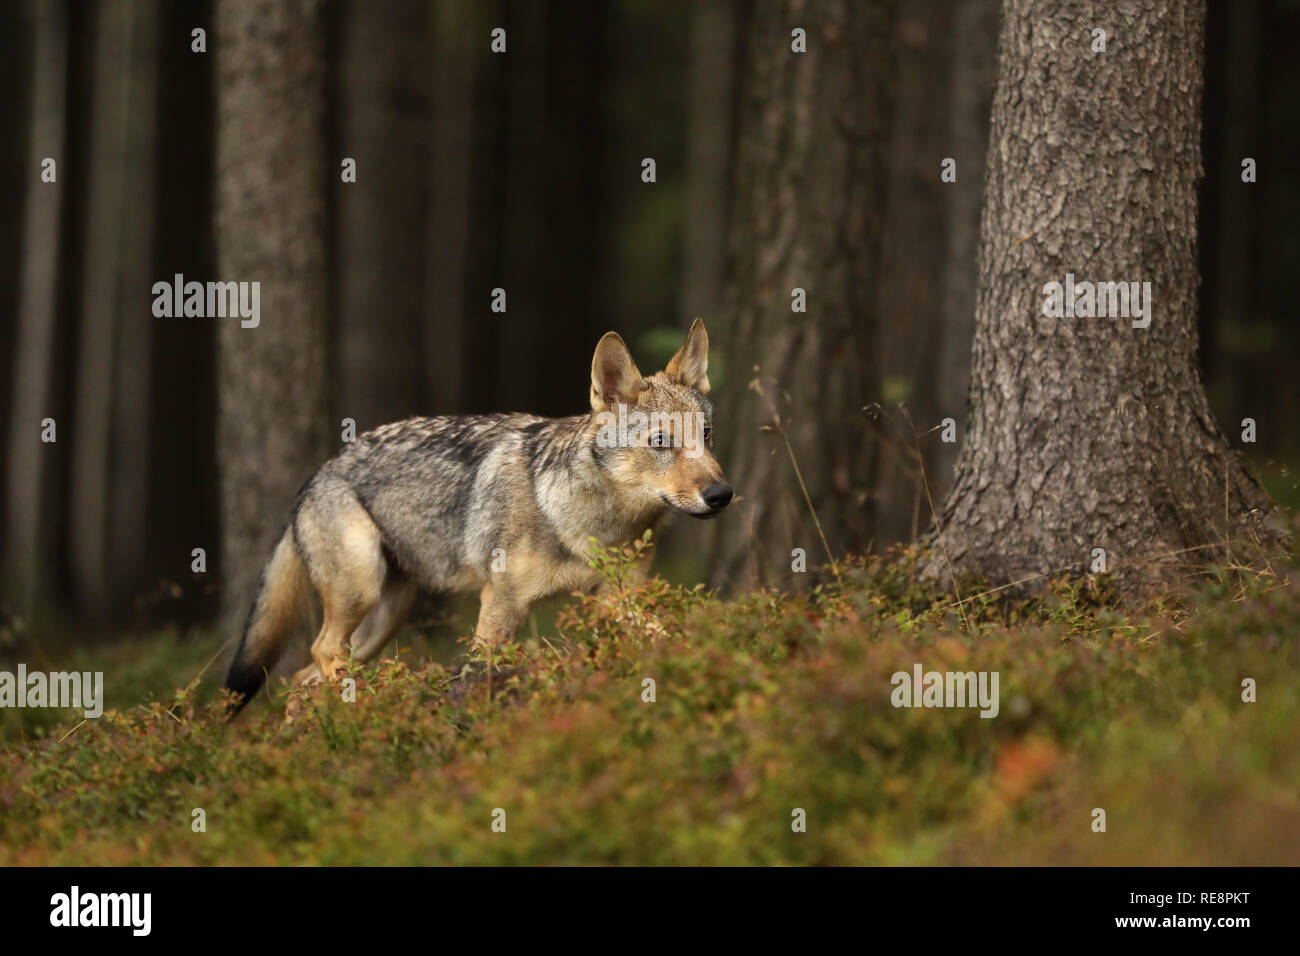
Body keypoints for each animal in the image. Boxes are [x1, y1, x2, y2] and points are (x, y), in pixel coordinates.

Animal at [225, 319, 732, 711]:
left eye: (706, 436)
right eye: (661, 443)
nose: (722, 494)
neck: (592, 523)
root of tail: (317, 474)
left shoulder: (616, 601)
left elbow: (667, 635)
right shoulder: (500, 605)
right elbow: (484, 673)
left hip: (381, 623)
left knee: (299, 680)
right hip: (361, 595)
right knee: (321, 654)